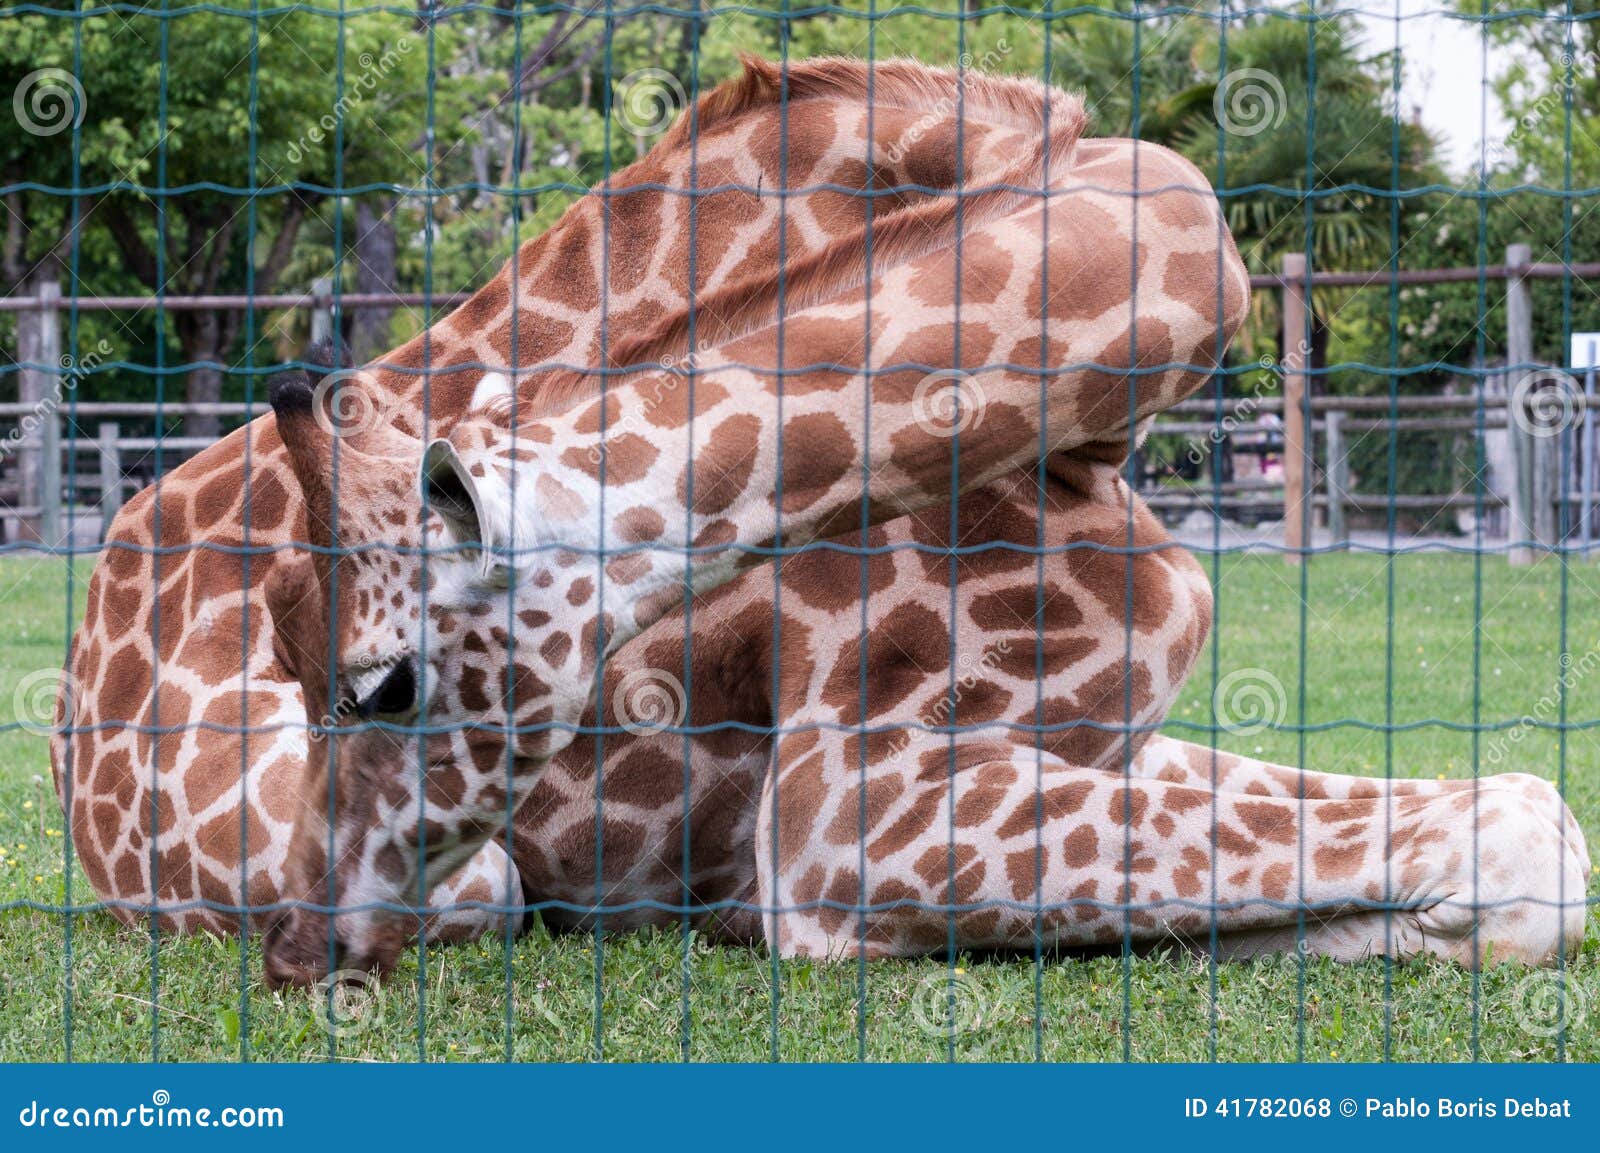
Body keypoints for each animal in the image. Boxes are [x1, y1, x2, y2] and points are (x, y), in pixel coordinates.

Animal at [255, 59, 1589, 986]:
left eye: (383, 685)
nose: (293, 947)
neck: (1086, 446)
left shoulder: (1101, 737)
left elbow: (1498, 827)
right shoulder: (839, 807)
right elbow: (1524, 835)